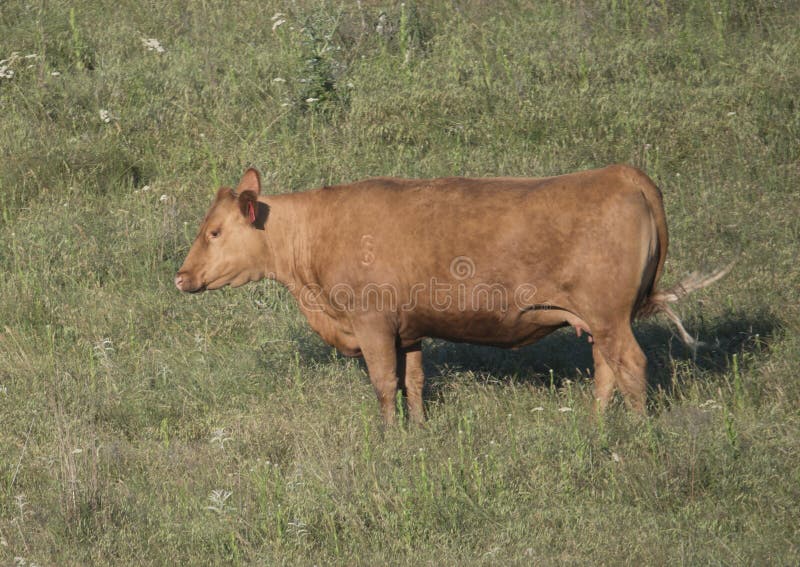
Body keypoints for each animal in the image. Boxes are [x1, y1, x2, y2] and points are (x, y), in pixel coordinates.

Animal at [175, 165, 731, 423]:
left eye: (214, 232)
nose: (181, 277)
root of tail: (622, 173)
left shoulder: (372, 323)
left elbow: (384, 384)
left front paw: (390, 440)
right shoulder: (409, 329)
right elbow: (415, 382)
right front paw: (420, 432)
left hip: (610, 315)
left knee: (631, 367)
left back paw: (637, 431)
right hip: (598, 321)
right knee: (606, 371)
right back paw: (596, 427)